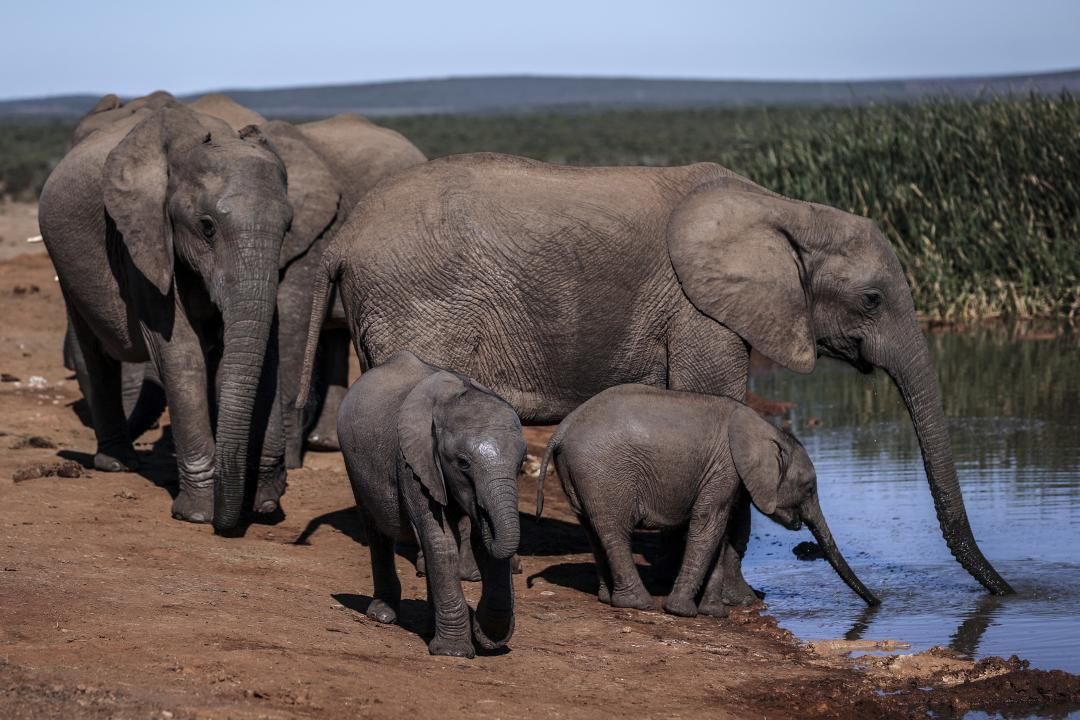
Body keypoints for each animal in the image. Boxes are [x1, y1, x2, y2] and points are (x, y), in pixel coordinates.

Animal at [39, 101, 294, 530]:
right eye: (207, 228)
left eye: (289, 227)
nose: (251, 510)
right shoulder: (141, 240)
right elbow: (181, 354)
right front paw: (197, 515)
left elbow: (265, 354)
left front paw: (263, 502)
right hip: (63, 258)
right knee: (92, 354)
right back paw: (118, 464)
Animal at [338, 350, 525, 657]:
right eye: (462, 463)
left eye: (521, 464)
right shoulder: (413, 460)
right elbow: (441, 539)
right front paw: (454, 652)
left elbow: (471, 544)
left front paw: (485, 637)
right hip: (354, 464)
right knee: (377, 531)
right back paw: (383, 615)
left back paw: (427, 627)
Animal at [535, 384, 879, 617]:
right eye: (808, 488)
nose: (878, 603)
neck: (766, 428)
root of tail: (562, 430)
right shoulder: (724, 468)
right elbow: (708, 526)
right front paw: (683, 612)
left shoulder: (729, 475)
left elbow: (721, 534)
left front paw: (713, 613)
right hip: (604, 472)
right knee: (614, 531)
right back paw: (639, 604)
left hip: (582, 475)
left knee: (593, 529)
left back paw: (608, 599)